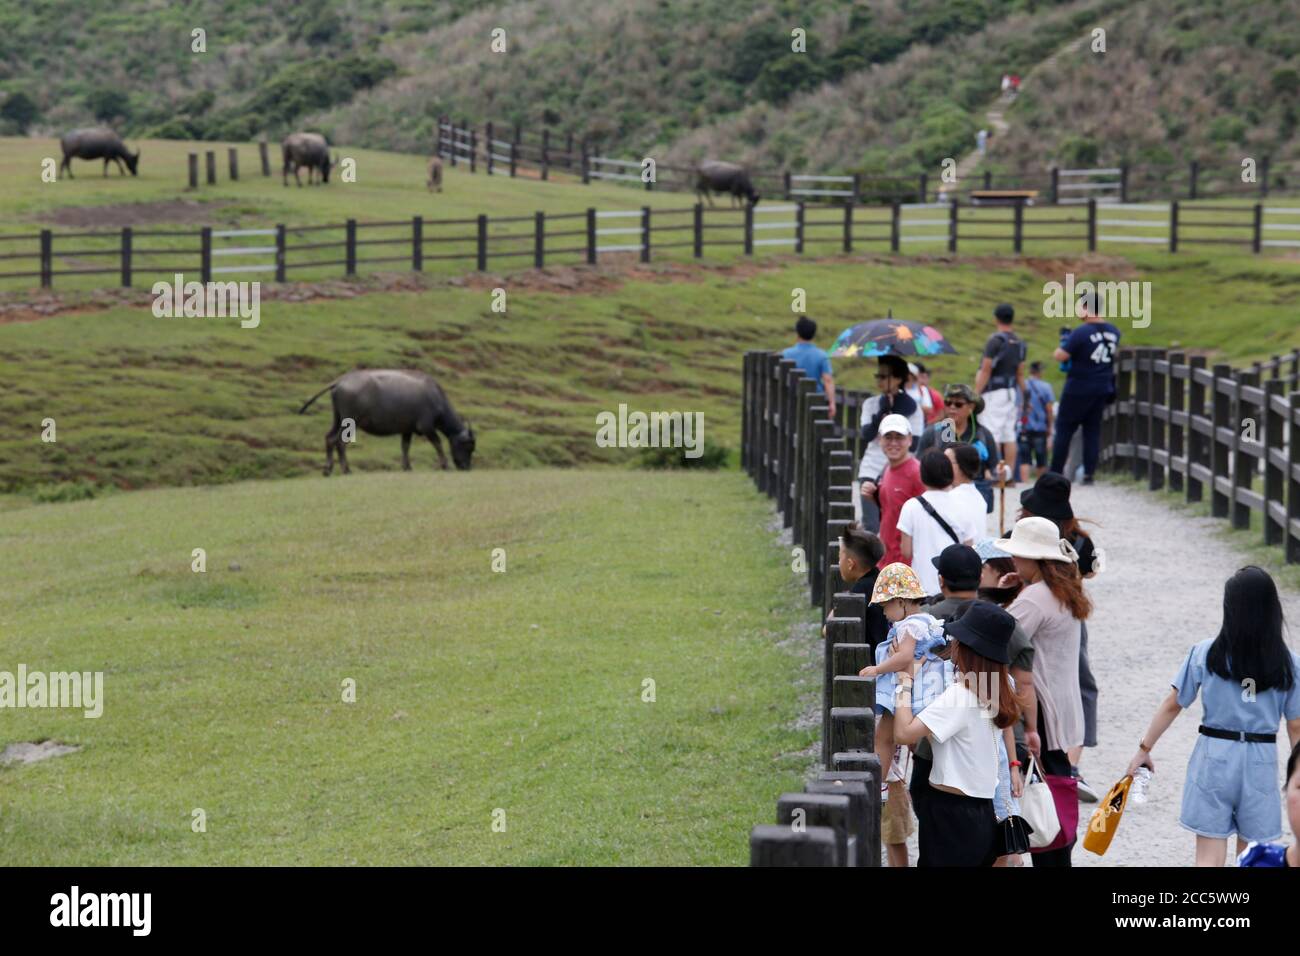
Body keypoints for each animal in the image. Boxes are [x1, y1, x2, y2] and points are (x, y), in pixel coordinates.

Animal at [298, 369, 476, 475]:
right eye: (468, 446)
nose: (466, 467)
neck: (436, 399)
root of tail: (340, 381)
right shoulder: (426, 427)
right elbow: (438, 443)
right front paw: (444, 465)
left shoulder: (407, 429)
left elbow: (405, 447)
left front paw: (407, 467)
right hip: (350, 422)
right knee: (339, 442)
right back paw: (346, 469)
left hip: (337, 419)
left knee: (329, 438)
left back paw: (327, 470)